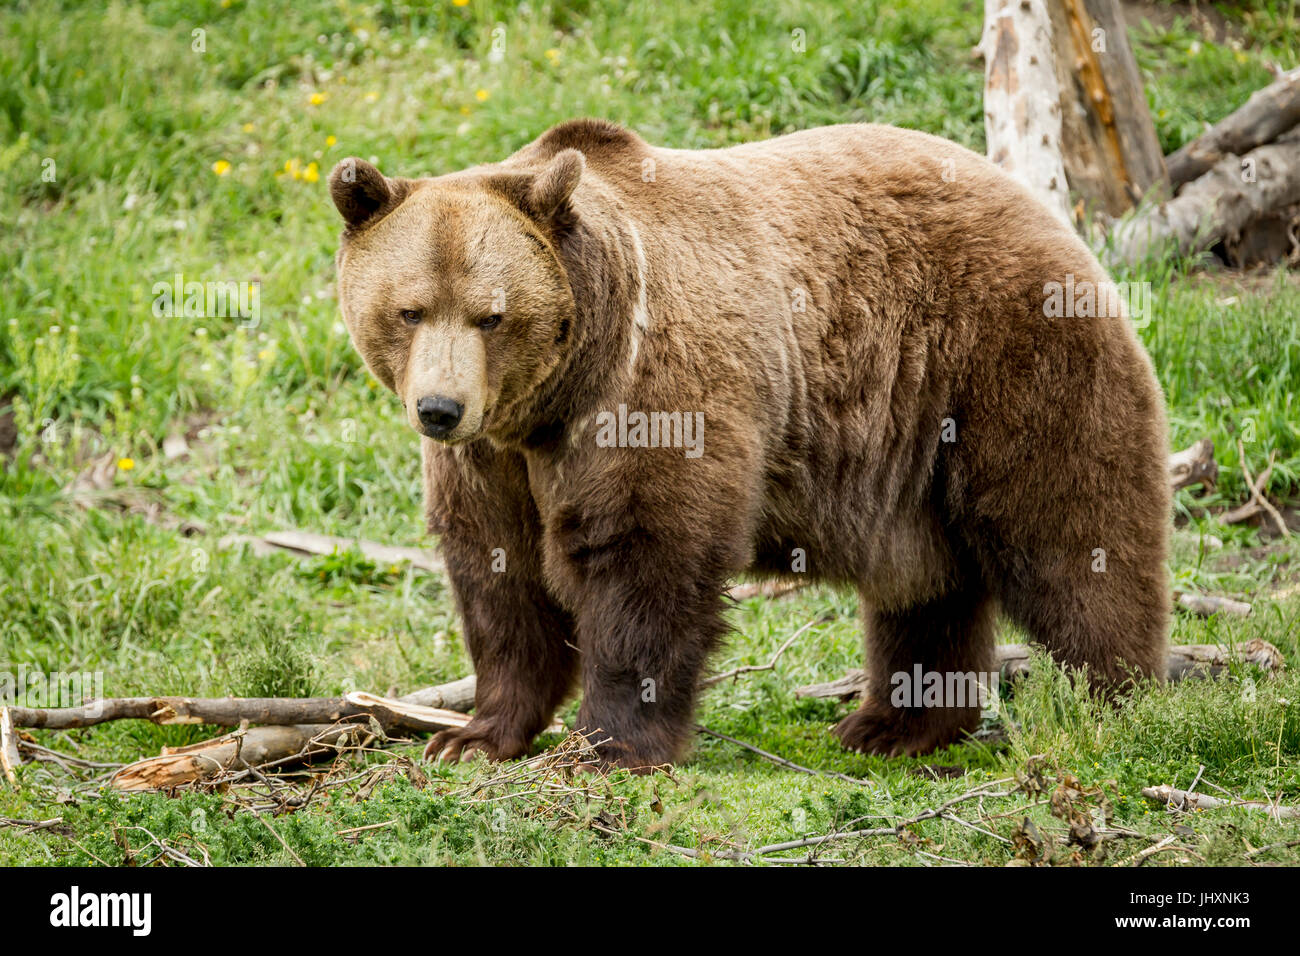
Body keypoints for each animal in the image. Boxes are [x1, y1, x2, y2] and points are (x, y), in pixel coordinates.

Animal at [328, 118, 1170, 769]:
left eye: (492, 315)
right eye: (409, 310)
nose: (440, 409)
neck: (550, 401)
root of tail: (1046, 212)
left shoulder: (649, 394)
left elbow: (645, 552)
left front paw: (610, 744)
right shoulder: (492, 461)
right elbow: (501, 576)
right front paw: (472, 736)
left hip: (1002, 357)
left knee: (1072, 533)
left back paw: (1115, 702)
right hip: (912, 449)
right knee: (928, 586)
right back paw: (894, 723)